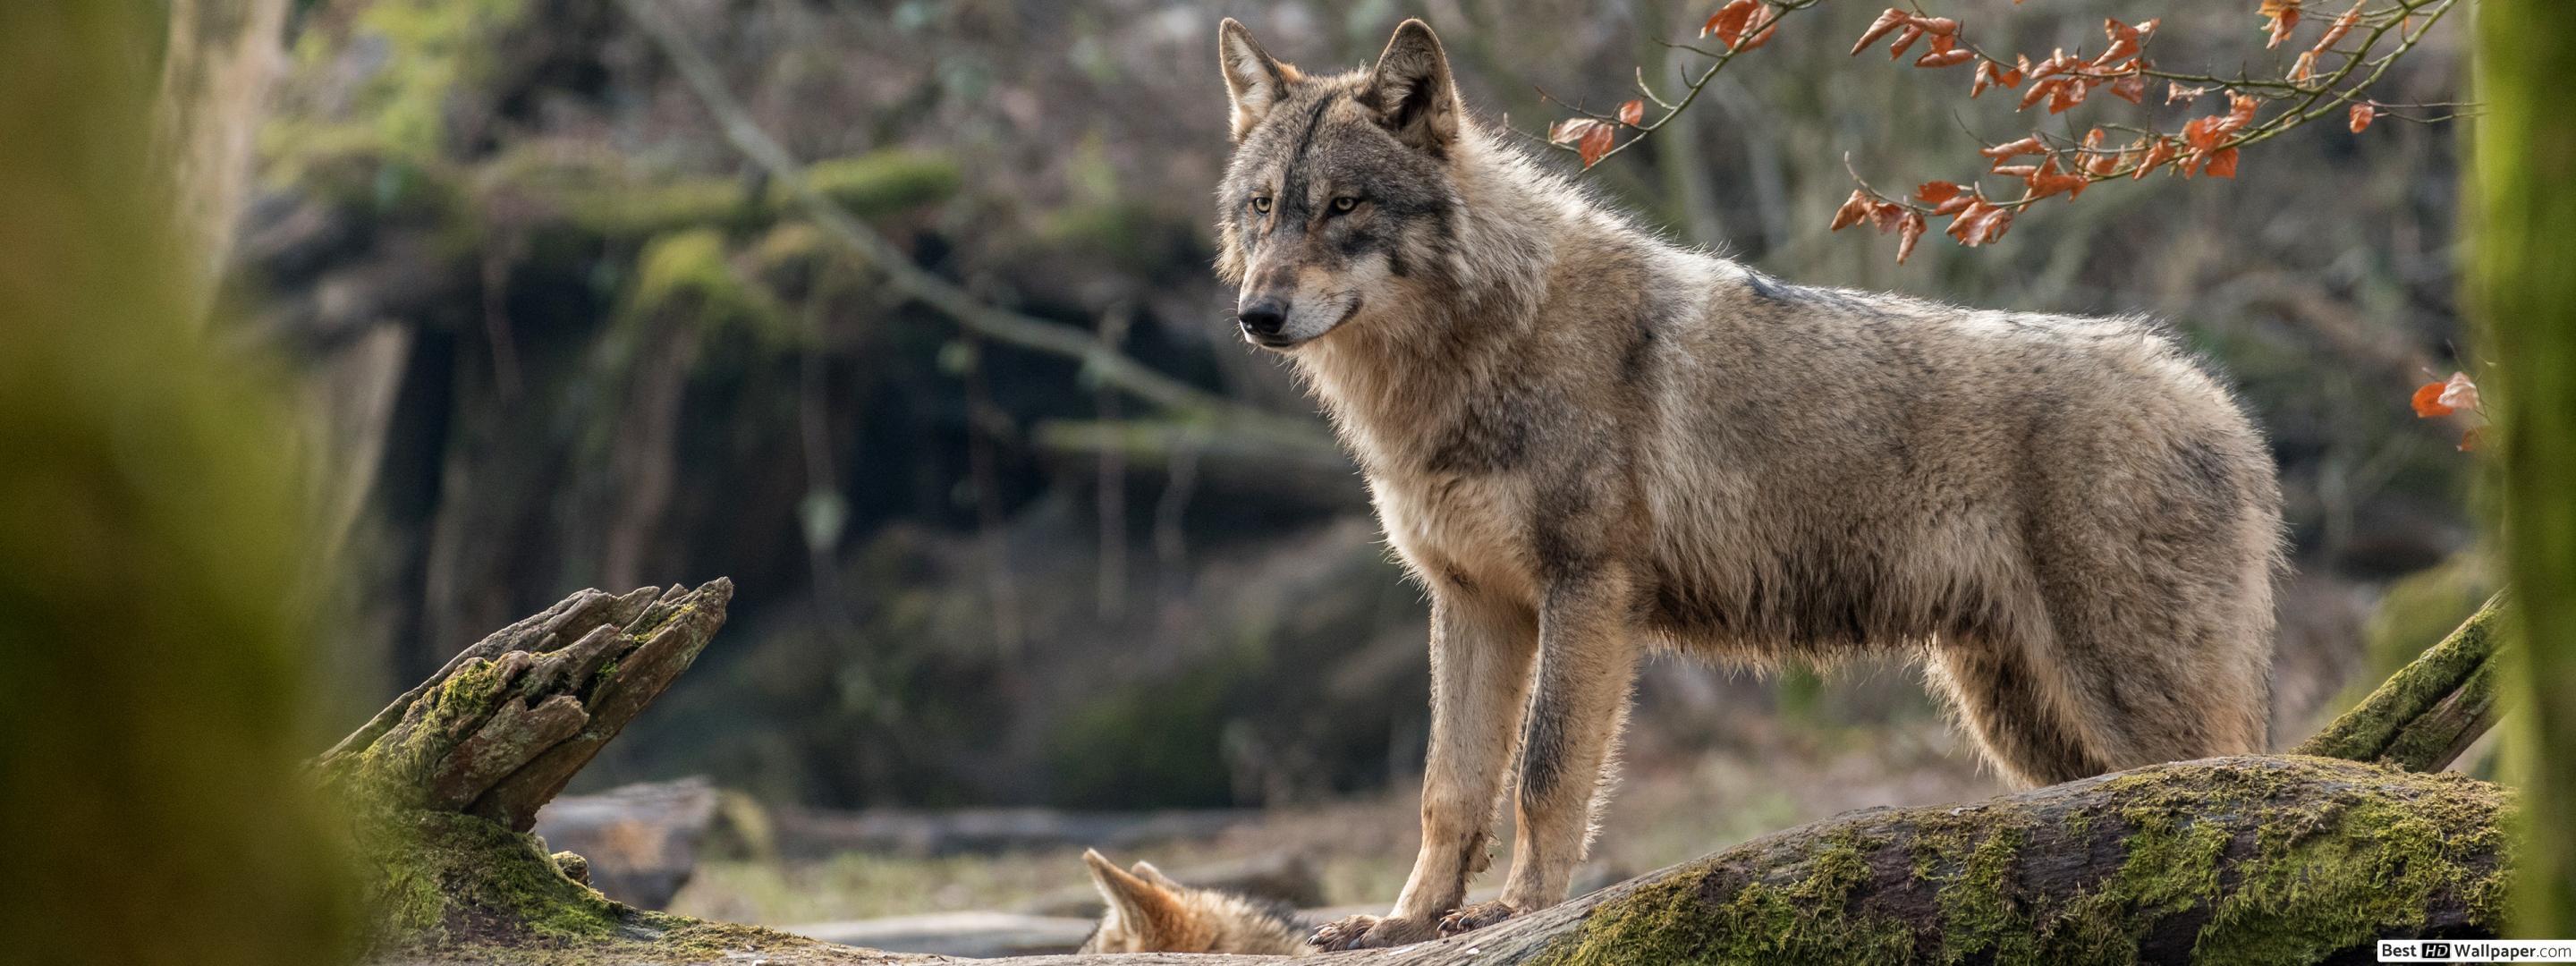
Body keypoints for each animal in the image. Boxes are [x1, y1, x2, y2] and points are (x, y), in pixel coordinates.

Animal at [1211, 16, 2283, 950]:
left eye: (1344, 205)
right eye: (1263, 207)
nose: (1256, 315)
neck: (1471, 353)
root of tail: (2220, 404)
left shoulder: (1587, 590)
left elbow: (1545, 773)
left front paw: (1518, 909)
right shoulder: (1473, 601)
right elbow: (1449, 788)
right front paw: (1404, 924)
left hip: (2121, 703)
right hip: (2022, 723)